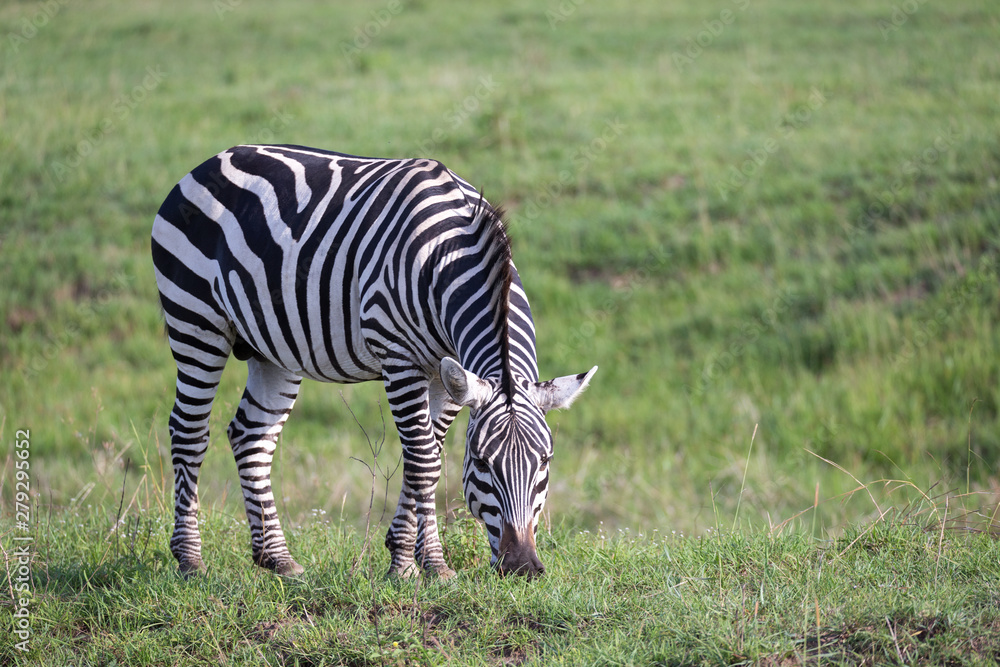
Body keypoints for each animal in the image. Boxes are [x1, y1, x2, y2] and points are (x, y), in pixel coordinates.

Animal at [151, 144, 597, 578]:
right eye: (482, 463)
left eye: (545, 461)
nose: (522, 567)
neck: (447, 254)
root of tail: (212, 160)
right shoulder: (400, 360)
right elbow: (422, 461)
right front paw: (416, 565)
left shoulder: (448, 376)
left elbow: (430, 455)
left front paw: (415, 554)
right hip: (195, 319)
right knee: (188, 430)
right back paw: (190, 560)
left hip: (271, 349)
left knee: (251, 435)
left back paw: (277, 558)